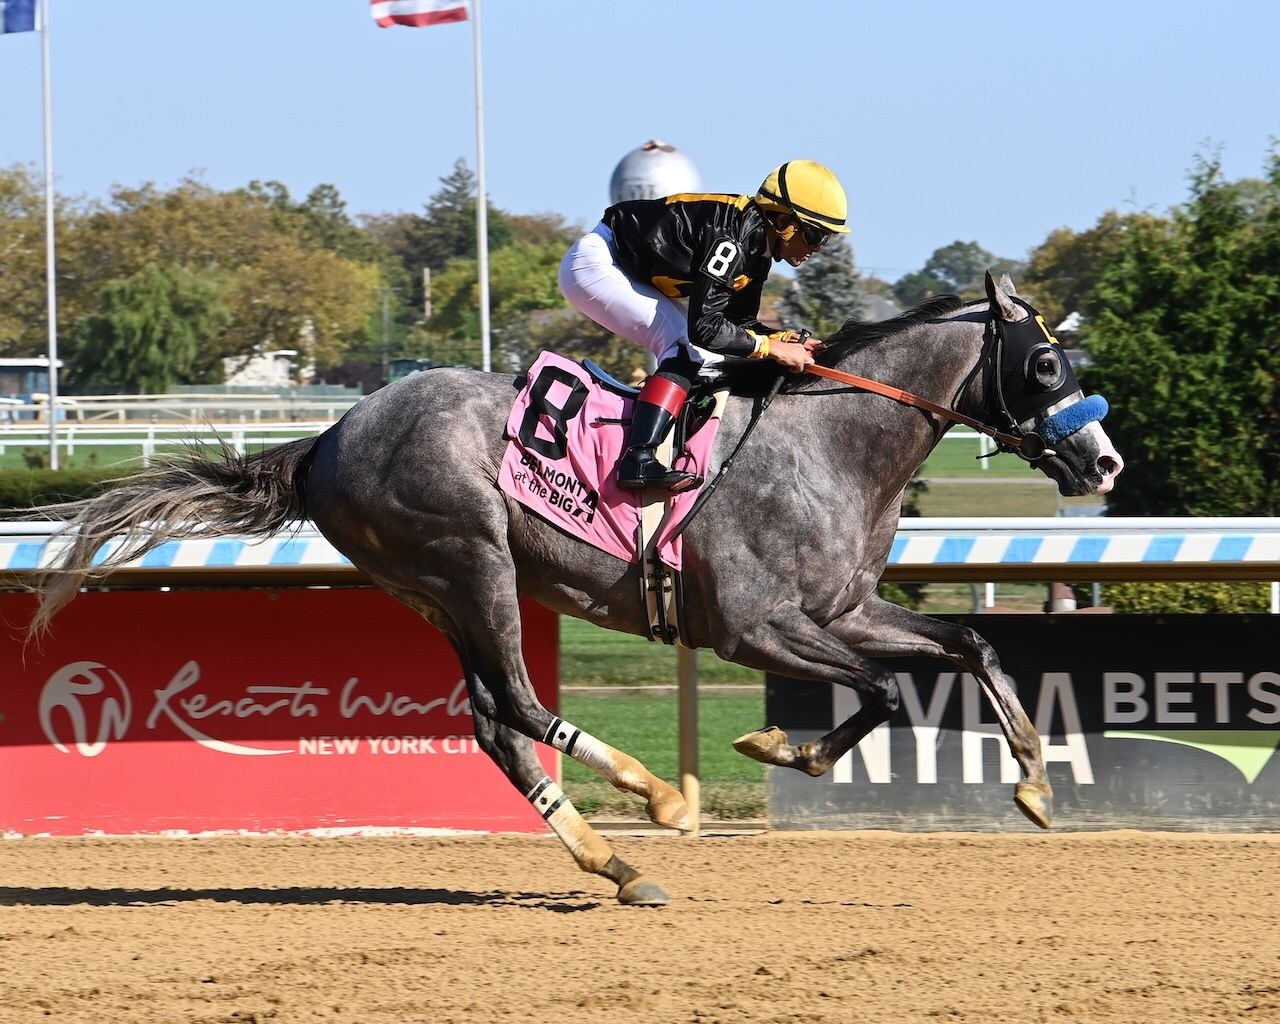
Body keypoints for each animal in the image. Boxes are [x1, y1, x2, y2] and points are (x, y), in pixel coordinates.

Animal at [24, 272, 1123, 906]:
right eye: (1044, 362)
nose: (1104, 461)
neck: (829, 445)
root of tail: (329, 436)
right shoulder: (755, 628)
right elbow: (884, 691)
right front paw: (780, 746)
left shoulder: (844, 610)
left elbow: (965, 648)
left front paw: (1033, 780)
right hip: (474, 561)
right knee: (516, 701)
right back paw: (653, 800)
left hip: (437, 589)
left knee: (494, 723)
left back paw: (615, 862)